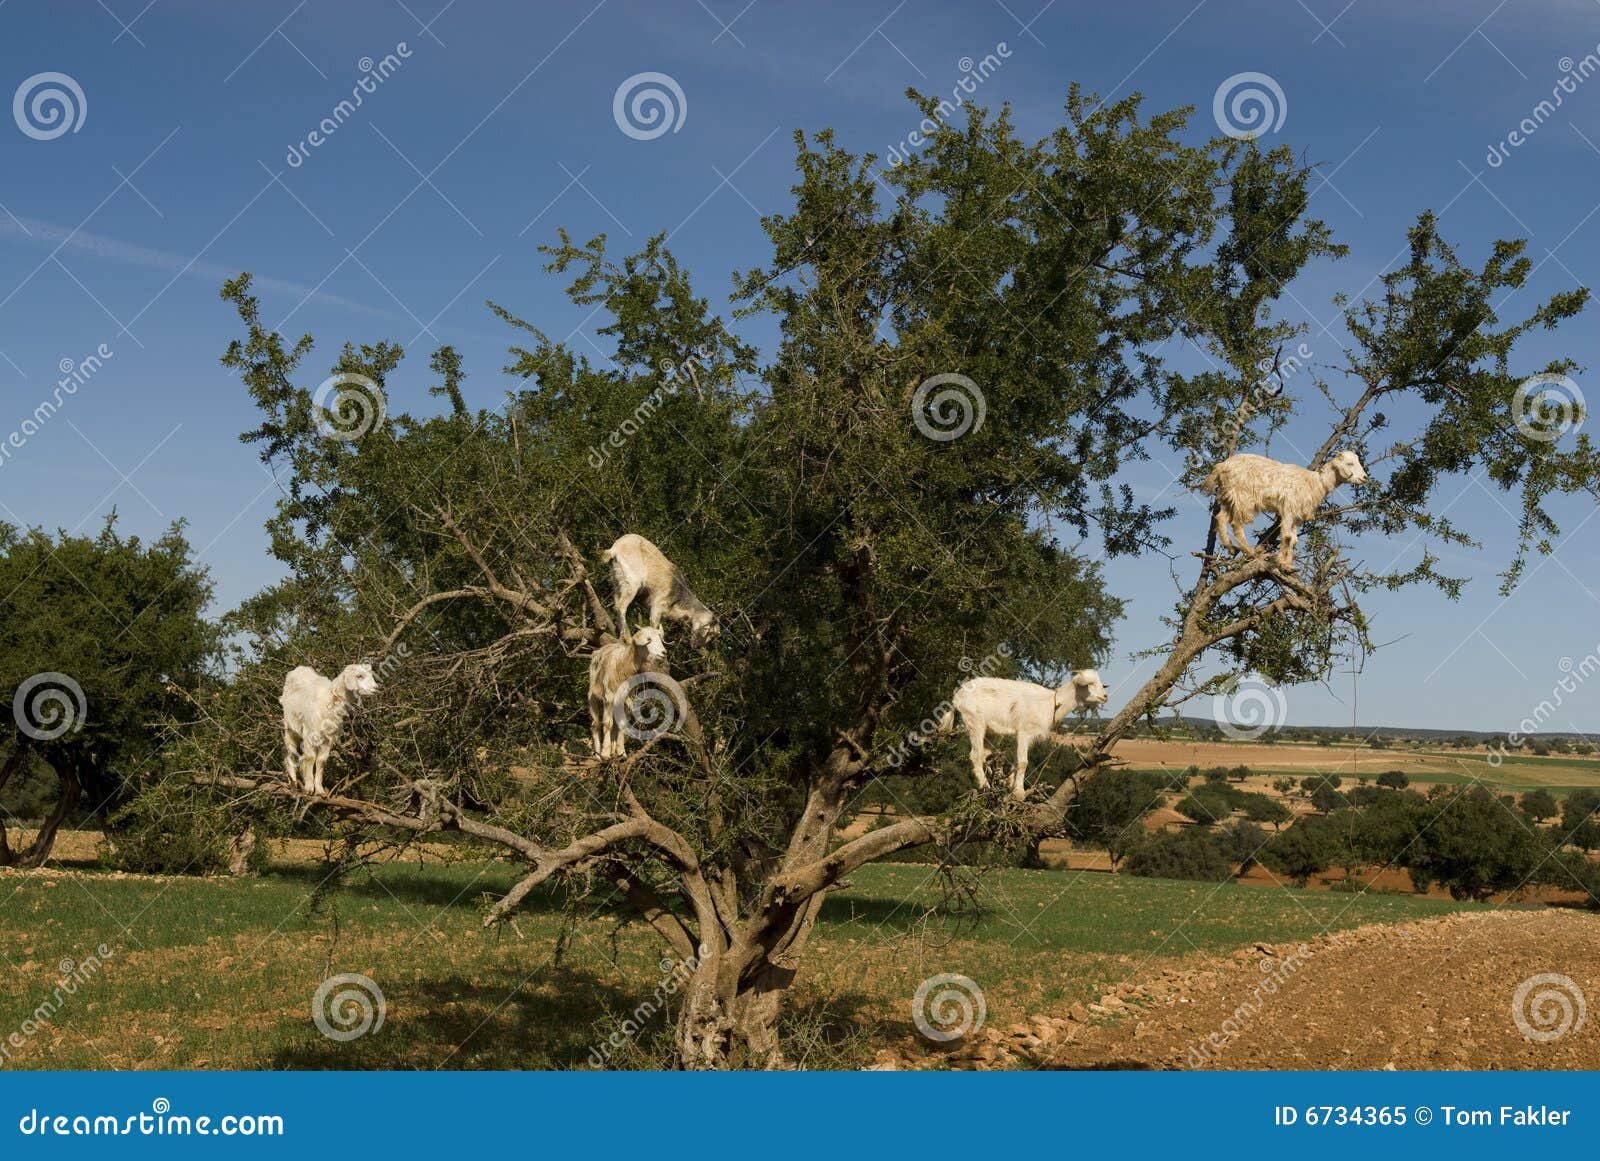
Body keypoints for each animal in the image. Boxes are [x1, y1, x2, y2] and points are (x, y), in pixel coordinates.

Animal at [280, 663, 379, 795]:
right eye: (359, 676)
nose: (376, 688)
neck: (330, 701)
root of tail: (300, 669)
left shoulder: (329, 738)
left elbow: (321, 761)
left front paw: (319, 790)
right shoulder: (309, 733)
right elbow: (310, 758)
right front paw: (309, 788)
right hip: (290, 726)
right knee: (290, 752)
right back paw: (293, 782)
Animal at [587, 626, 669, 759]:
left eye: (660, 638)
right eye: (649, 639)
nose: (663, 652)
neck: (622, 665)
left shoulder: (625, 698)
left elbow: (622, 724)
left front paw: (621, 752)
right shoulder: (609, 697)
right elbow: (607, 723)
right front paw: (605, 753)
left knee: (613, 725)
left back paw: (614, 752)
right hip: (593, 698)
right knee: (595, 724)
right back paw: (598, 755)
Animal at [938, 671, 1109, 801]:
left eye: (1101, 683)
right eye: (1089, 684)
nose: (1105, 696)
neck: (1052, 703)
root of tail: (957, 698)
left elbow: (1015, 761)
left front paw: (1010, 784)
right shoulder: (1024, 732)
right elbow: (1023, 762)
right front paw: (1019, 792)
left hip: (991, 731)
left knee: (984, 754)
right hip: (975, 722)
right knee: (975, 755)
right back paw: (985, 785)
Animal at [1201, 450, 1367, 569]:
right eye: (1350, 463)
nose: (1365, 477)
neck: (1315, 483)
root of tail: (1222, 466)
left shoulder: (1296, 516)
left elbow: (1293, 540)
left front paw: (1289, 565)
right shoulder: (1288, 509)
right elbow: (1287, 537)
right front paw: (1281, 562)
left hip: (1230, 497)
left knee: (1221, 517)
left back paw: (1231, 548)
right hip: (1244, 498)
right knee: (1237, 524)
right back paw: (1251, 552)